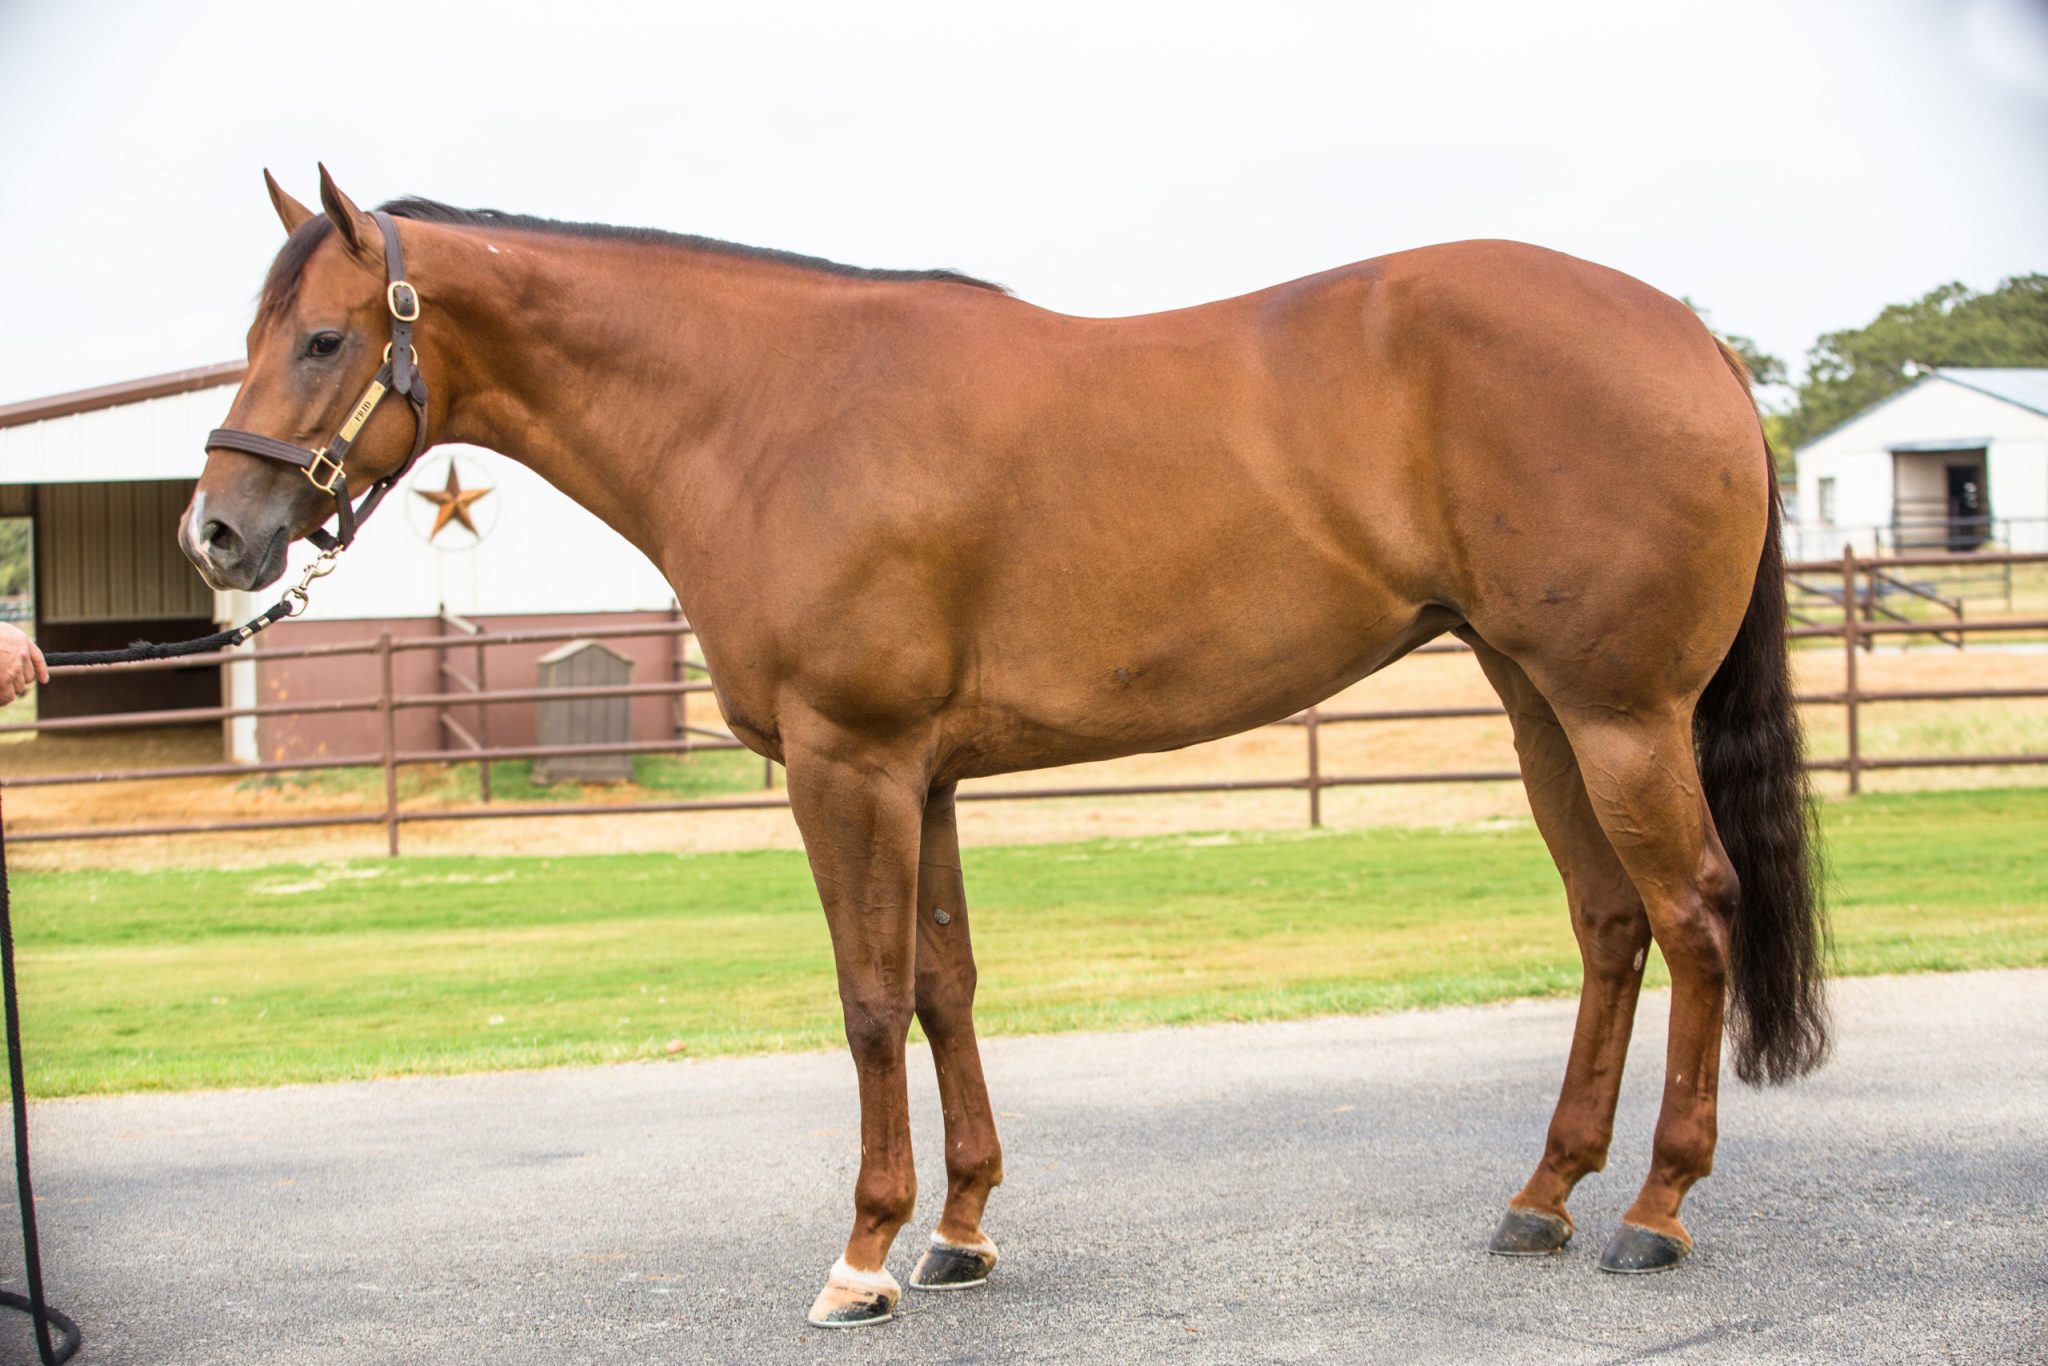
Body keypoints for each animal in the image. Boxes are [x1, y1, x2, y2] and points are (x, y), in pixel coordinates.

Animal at [182, 166, 1829, 1327]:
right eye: (252, 334)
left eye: (322, 337)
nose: (216, 534)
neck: (766, 414)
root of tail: (1685, 334)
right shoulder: (924, 777)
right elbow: (943, 988)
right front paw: (962, 1231)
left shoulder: (848, 765)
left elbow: (864, 1002)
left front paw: (862, 1255)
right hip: (1538, 702)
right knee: (1610, 924)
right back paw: (1542, 1196)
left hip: (1618, 713)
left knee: (1694, 914)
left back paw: (1654, 1211)